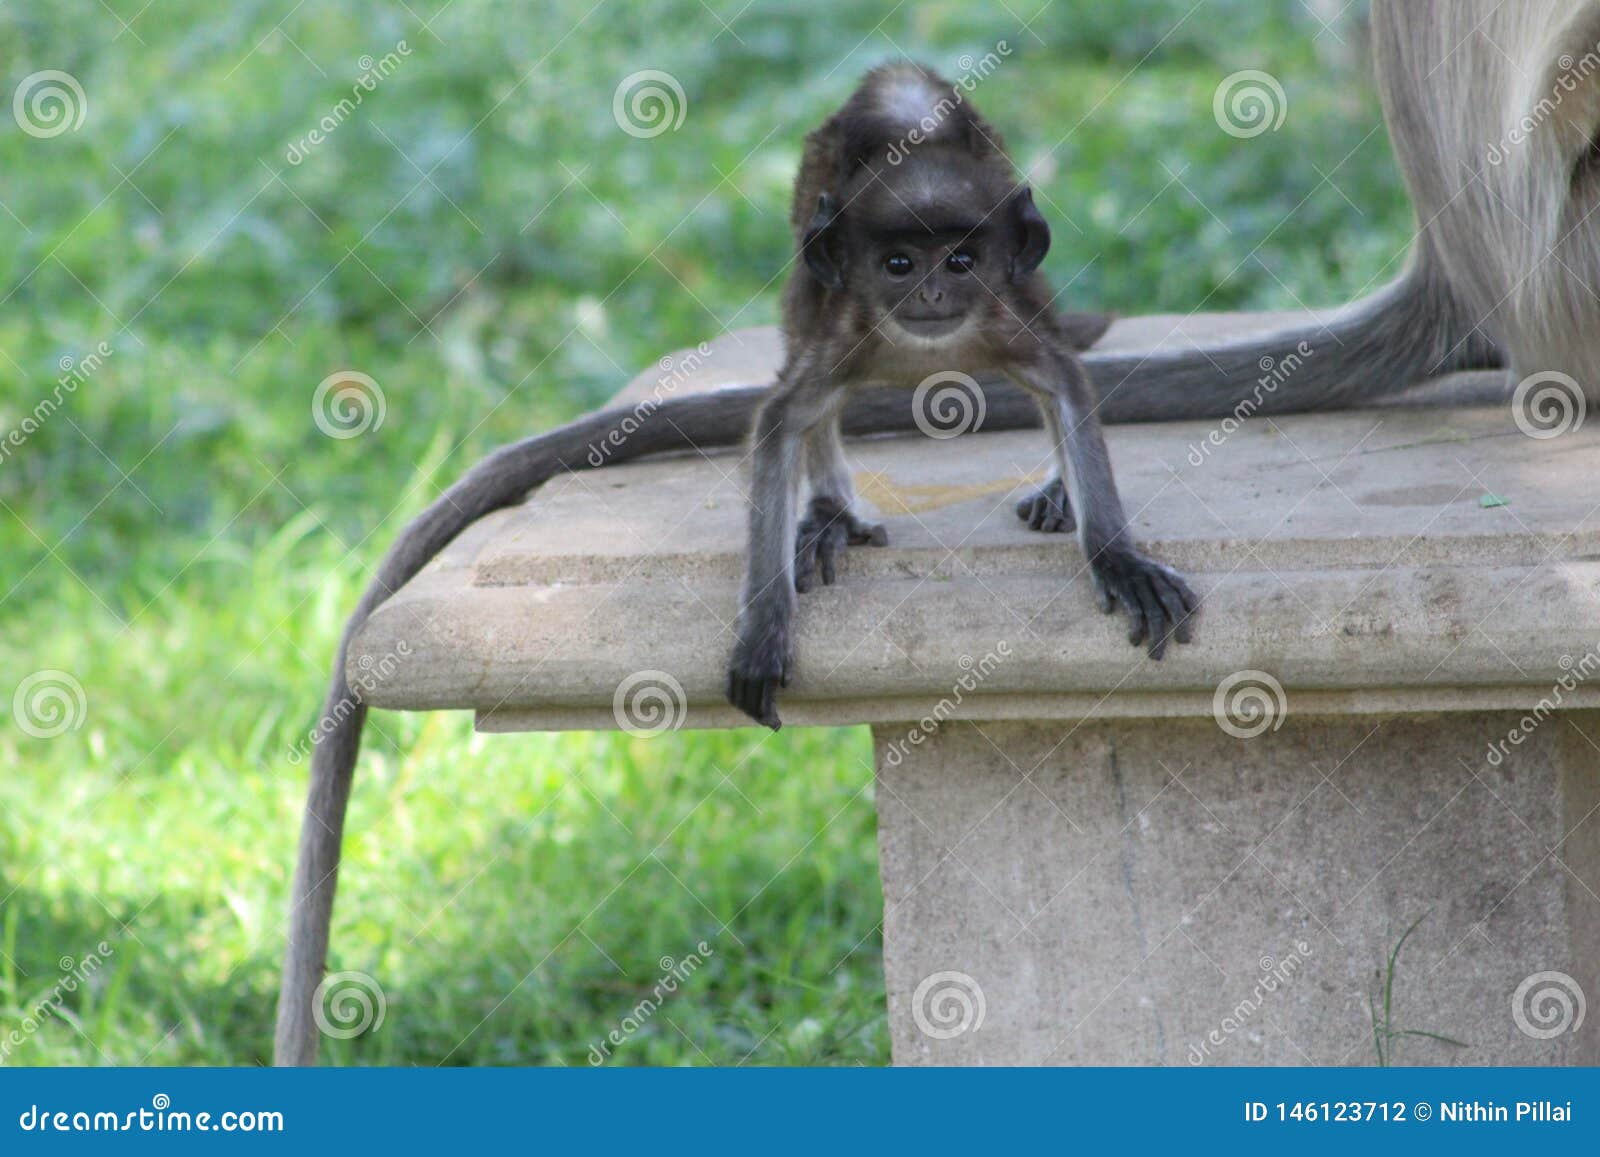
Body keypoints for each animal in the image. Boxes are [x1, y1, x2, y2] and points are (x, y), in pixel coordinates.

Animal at [722, 63, 1196, 729]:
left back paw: (1057, 492)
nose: (932, 295)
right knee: (804, 297)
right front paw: (765, 627)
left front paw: (1117, 558)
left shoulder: (1002, 311)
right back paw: (831, 514)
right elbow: (780, 421)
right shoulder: (849, 323)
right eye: (899, 264)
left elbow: (1066, 384)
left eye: (959, 262)